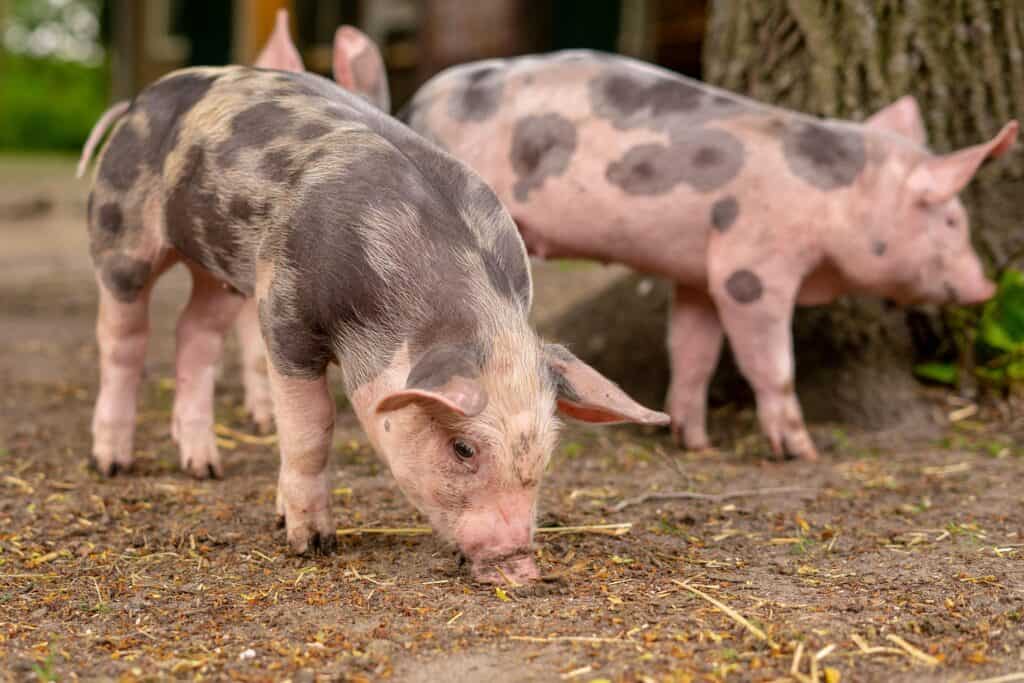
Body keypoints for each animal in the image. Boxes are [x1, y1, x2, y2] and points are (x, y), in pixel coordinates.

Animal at [76, 63, 668, 583]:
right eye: (463, 448)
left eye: (546, 450)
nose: (520, 567)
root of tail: (137, 102)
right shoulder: (283, 313)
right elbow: (311, 429)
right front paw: (311, 543)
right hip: (121, 236)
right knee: (122, 340)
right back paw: (112, 463)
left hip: (219, 268)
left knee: (194, 334)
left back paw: (203, 467)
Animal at [391, 50, 1018, 461]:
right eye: (952, 219)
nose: (987, 286)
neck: (837, 198)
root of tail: (417, 102)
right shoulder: (751, 268)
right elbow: (773, 364)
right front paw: (803, 452)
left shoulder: (698, 273)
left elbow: (694, 351)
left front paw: (695, 441)